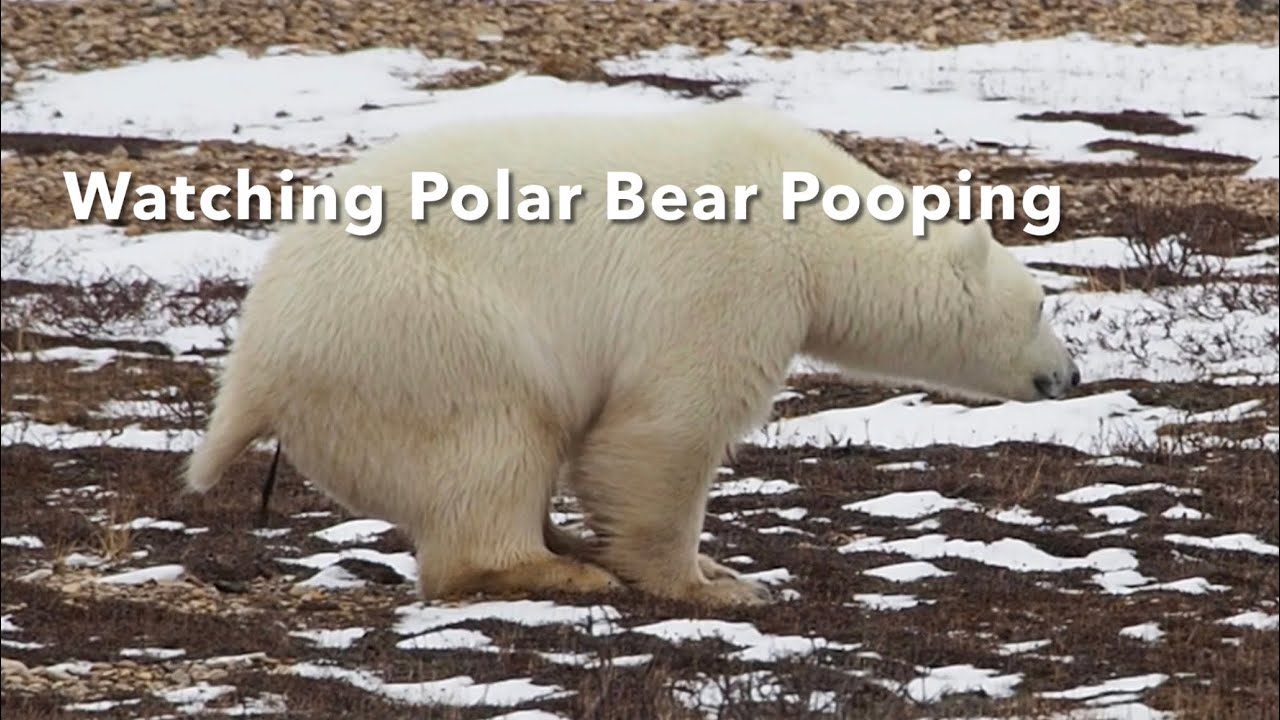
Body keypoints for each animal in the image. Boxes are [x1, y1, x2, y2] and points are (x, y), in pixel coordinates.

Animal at [183, 102, 1080, 608]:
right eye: (1042, 303)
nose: (1070, 373)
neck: (814, 220)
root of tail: (254, 363)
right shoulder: (730, 276)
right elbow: (664, 427)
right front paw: (719, 584)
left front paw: (719, 568)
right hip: (424, 330)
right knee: (493, 440)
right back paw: (559, 569)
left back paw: (569, 547)